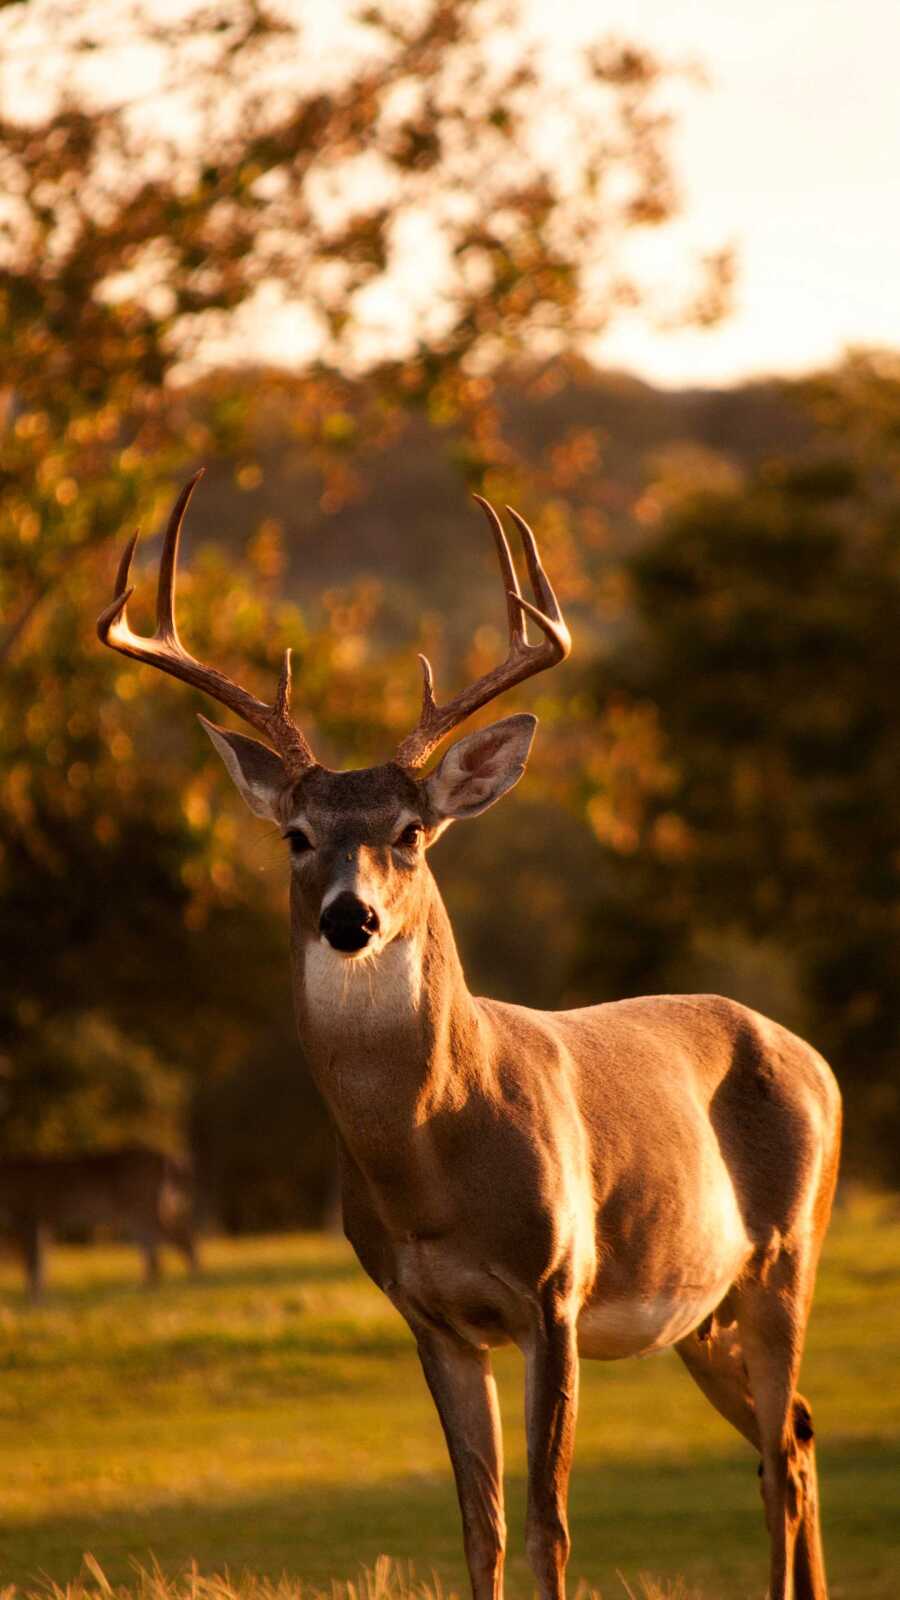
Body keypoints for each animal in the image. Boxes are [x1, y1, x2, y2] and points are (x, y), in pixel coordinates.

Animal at [0, 1143, 198, 1299]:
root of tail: (169, 1159)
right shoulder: (44, 1223)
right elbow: (42, 1262)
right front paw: (40, 1297)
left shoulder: (30, 1217)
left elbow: (33, 1263)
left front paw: (33, 1299)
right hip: (140, 1213)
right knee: (154, 1250)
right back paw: (147, 1288)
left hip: (143, 1208)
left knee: (180, 1238)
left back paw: (192, 1280)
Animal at [98, 472, 841, 1600]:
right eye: (297, 835)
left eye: (411, 831)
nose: (350, 917)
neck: (434, 1165)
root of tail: (814, 1060)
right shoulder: (431, 1317)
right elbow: (479, 1526)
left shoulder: (555, 1290)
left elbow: (549, 1523)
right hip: (703, 1308)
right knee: (791, 1436)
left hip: (787, 1255)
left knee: (781, 1453)